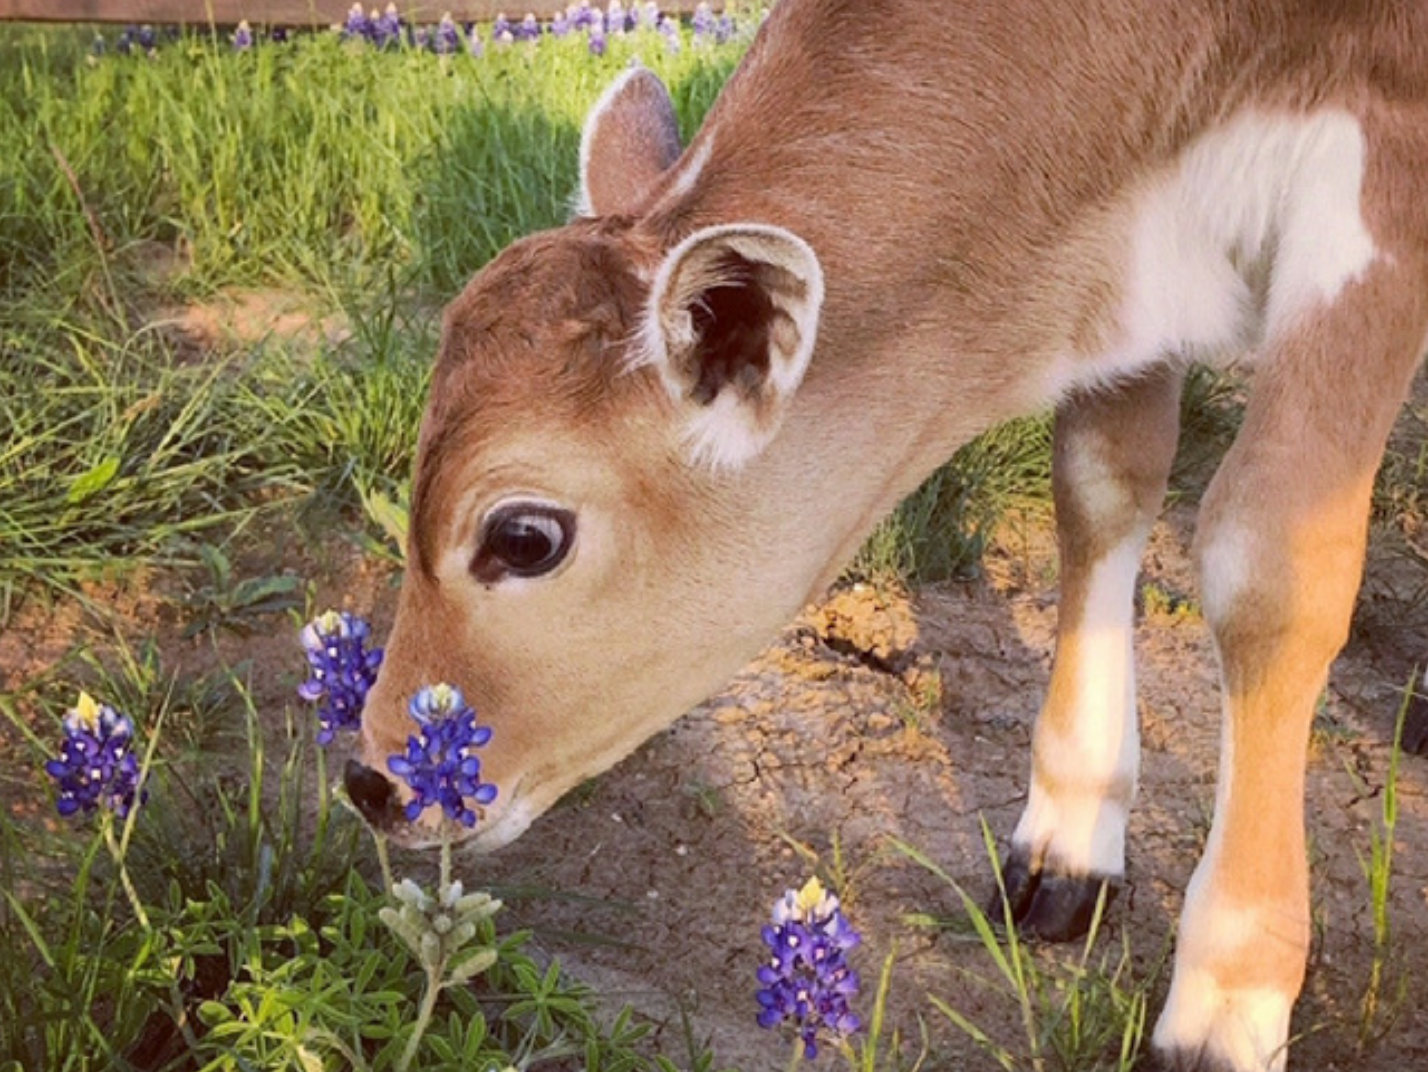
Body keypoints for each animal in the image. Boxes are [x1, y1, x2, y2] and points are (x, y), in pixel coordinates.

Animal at [341, 2, 1428, 1068]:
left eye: (524, 537)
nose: (374, 779)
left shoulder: (1383, 174)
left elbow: (1268, 565)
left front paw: (1226, 1002)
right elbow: (1103, 480)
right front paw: (1071, 839)